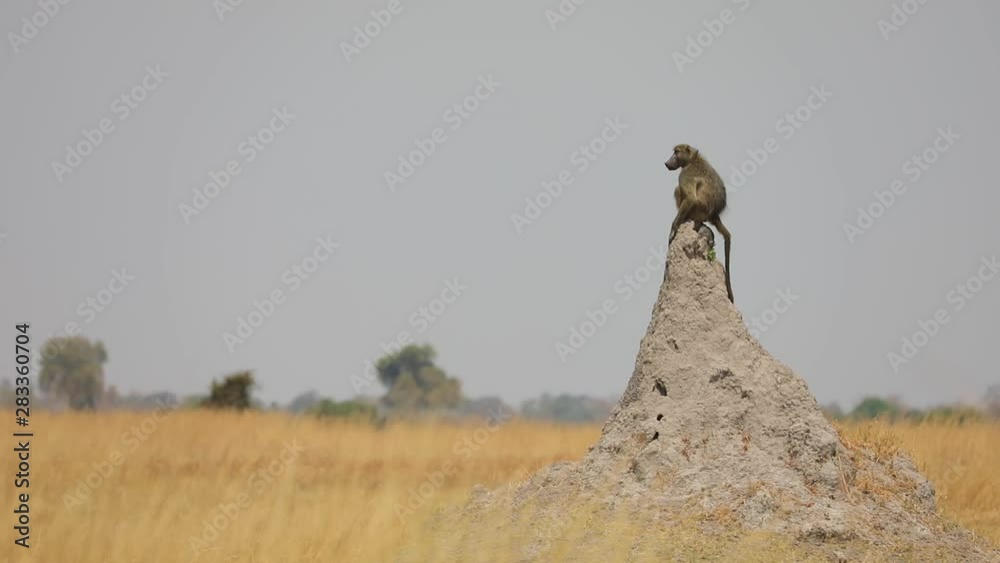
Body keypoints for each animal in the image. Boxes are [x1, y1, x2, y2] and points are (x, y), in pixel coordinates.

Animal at [665, 144, 734, 303]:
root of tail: (713, 215)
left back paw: (688, 221)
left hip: (697, 211)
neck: (693, 159)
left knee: (678, 190)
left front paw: (673, 230)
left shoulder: (685, 174)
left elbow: (690, 198)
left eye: (676, 152)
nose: (666, 163)